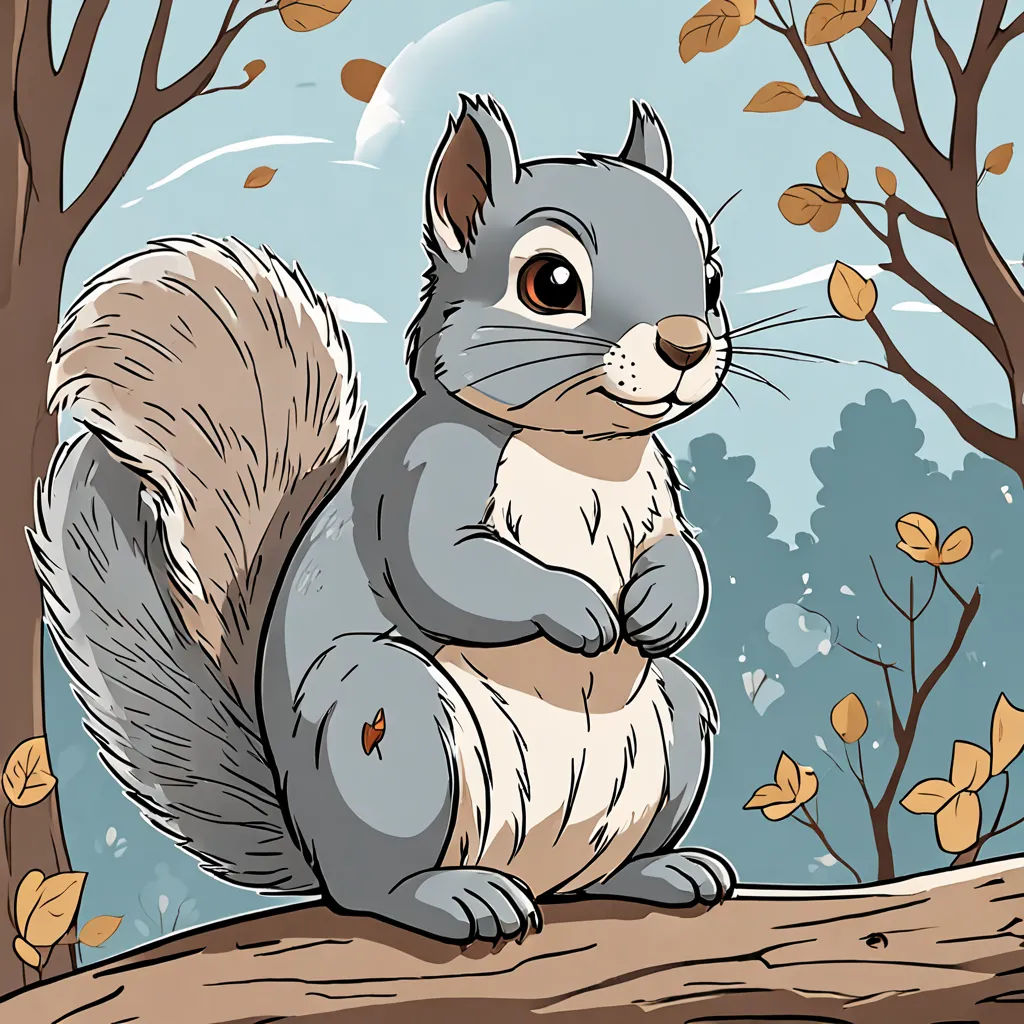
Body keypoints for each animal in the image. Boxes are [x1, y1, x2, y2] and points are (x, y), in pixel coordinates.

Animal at [31, 94, 736, 945]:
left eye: (712, 276)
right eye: (551, 282)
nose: (687, 344)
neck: (580, 451)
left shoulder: (658, 492)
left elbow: (682, 555)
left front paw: (661, 603)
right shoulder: (426, 475)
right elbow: (451, 570)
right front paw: (581, 610)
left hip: (680, 718)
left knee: (600, 866)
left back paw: (661, 871)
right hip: (391, 719)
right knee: (372, 886)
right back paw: (450, 896)